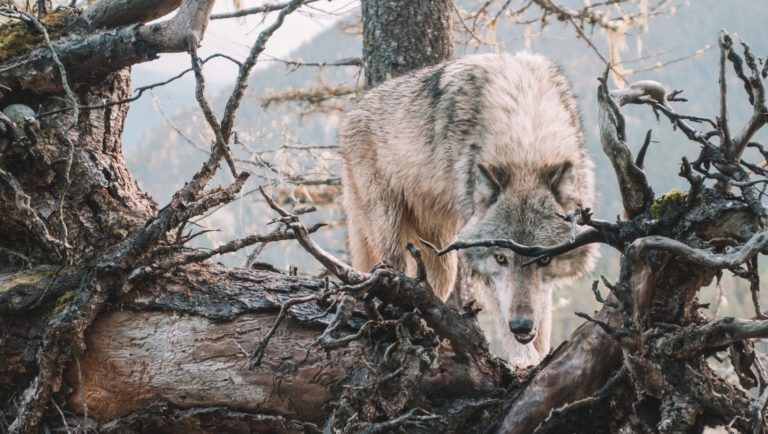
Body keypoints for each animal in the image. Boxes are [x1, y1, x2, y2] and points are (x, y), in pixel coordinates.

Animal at [339, 52, 598, 366]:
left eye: (544, 259)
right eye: (500, 258)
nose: (521, 326)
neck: (526, 138)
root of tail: (352, 112)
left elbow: (544, 314)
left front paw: (541, 354)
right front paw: (525, 361)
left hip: (442, 260)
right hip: (392, 237)